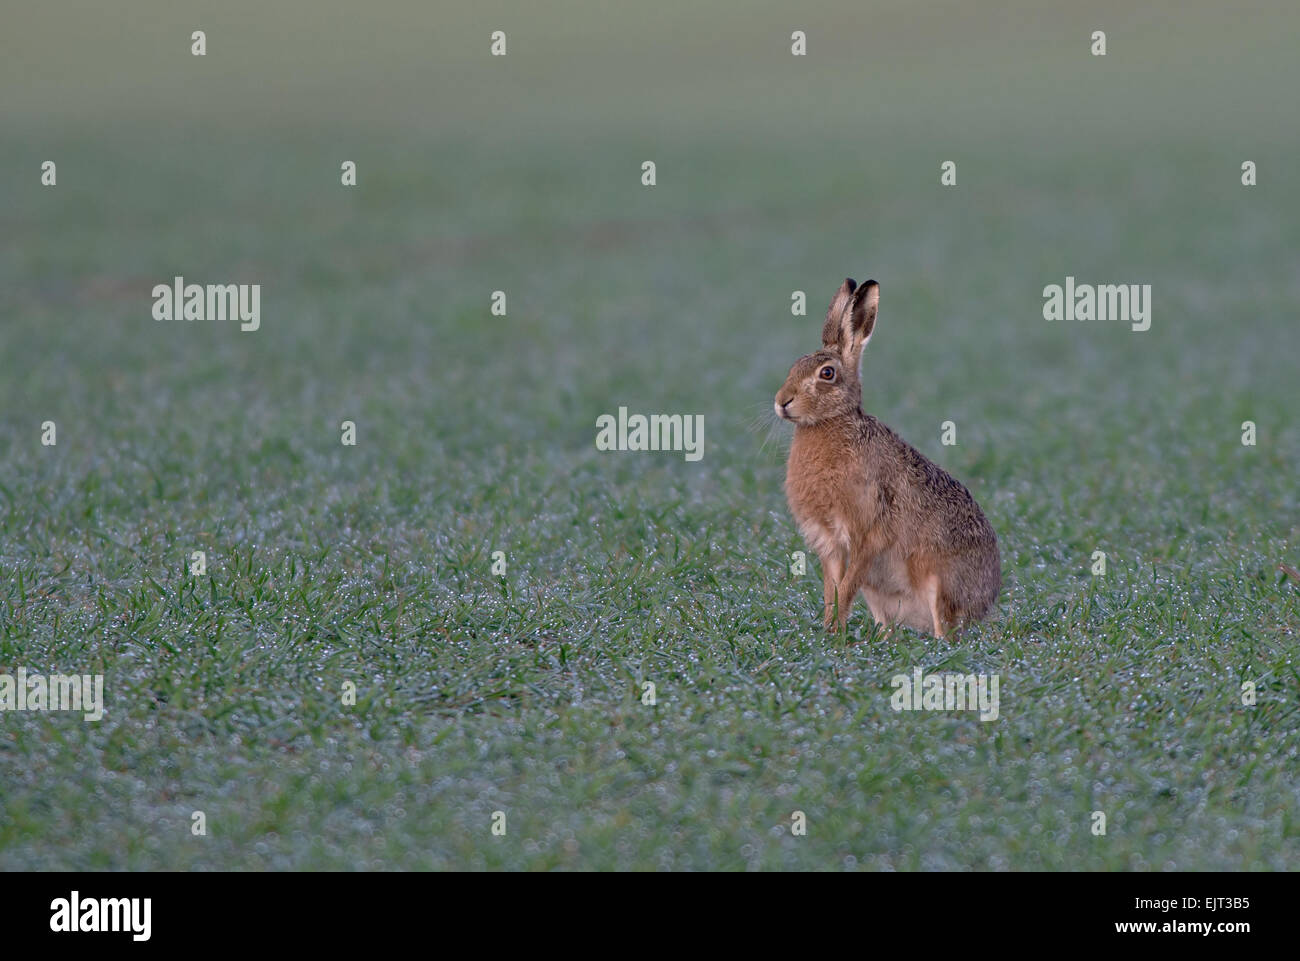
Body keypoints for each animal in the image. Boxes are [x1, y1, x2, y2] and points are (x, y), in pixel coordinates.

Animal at [774, 278, 1000, 639]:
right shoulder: (830, 544)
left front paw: (832, 632)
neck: (833, 422)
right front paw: (829, 630)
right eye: (795, 366)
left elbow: (845, 587)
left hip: (941, 584)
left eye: (827, 374)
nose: (782, 402)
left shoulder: (867, 532)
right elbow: (832, 588)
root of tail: (985, 605)